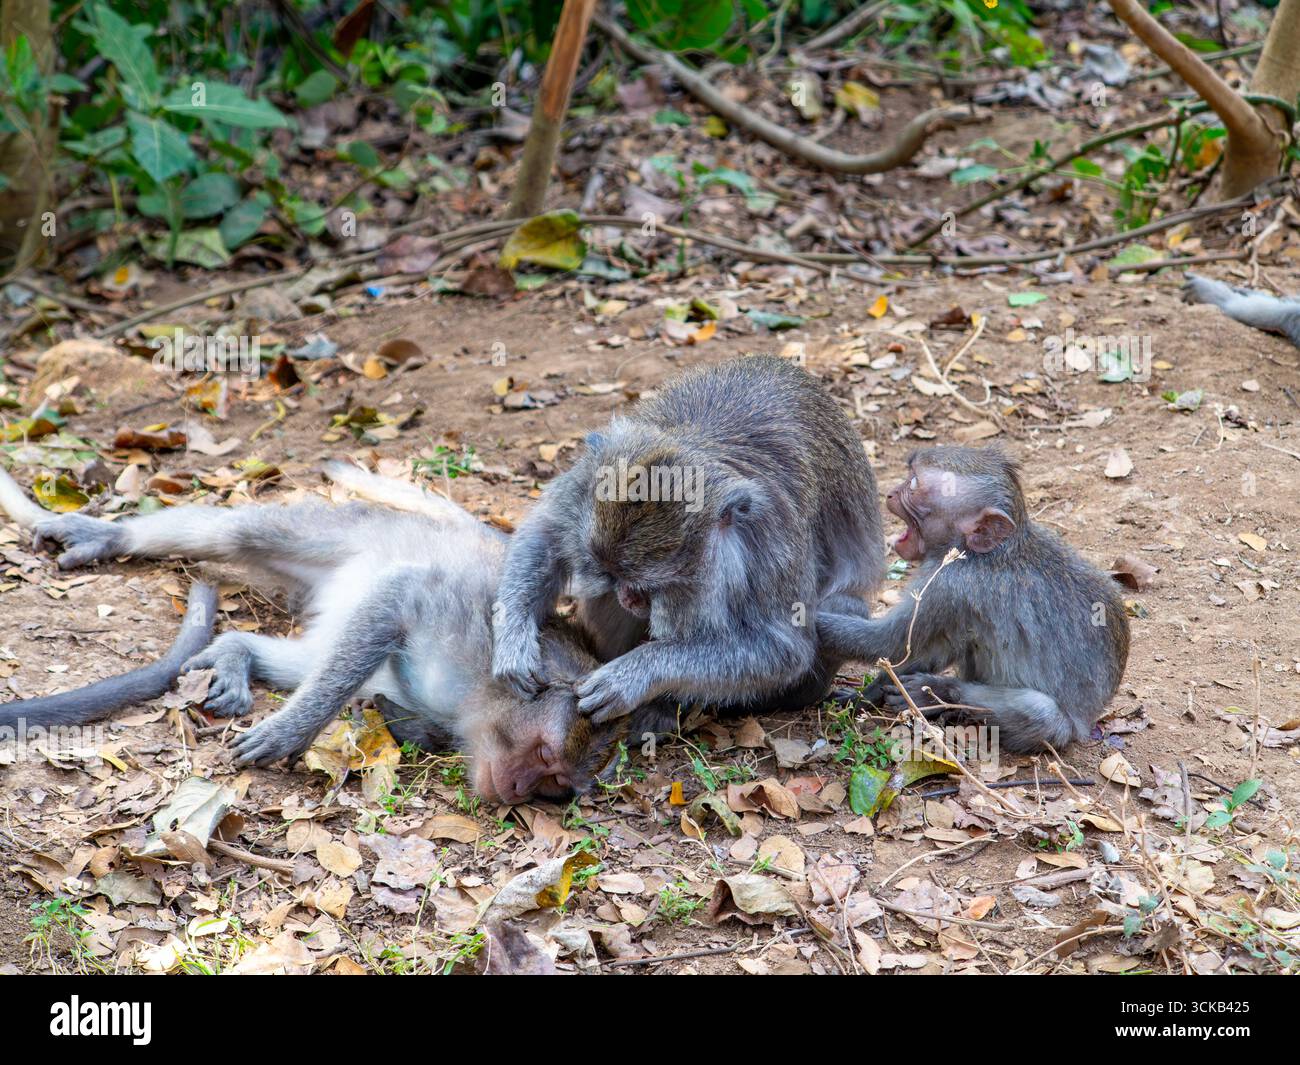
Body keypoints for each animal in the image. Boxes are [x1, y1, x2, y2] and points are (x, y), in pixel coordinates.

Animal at [0, 464, 664, 803]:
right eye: (546, 759)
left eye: (555, 784)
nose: (520, 790)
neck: (484, 699)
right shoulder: (476, 626)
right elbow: (397, 601)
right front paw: (291, 734)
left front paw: (404, 726)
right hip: (348, 527)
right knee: (241, 535)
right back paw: (109, 536)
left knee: (319, 654)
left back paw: (235, 654)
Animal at [490, 354, 887, 725]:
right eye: (613, 575)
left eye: (649, 585)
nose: (628, 597)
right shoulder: (594, 472)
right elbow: (545, 533)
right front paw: (513, 643)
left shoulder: (771, 541)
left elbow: (782, 649)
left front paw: (634, 674)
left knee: (842, 607)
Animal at [815, 446, 1130, 753]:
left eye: (914, 484)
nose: (890, 493)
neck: (986, 552)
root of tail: (1093, 715)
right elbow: (930, 649)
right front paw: (865, 695)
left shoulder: (949, 583)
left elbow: (890, 644)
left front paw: (812, 620)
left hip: (1068, 726)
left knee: (1044, 715)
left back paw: (940, 694)